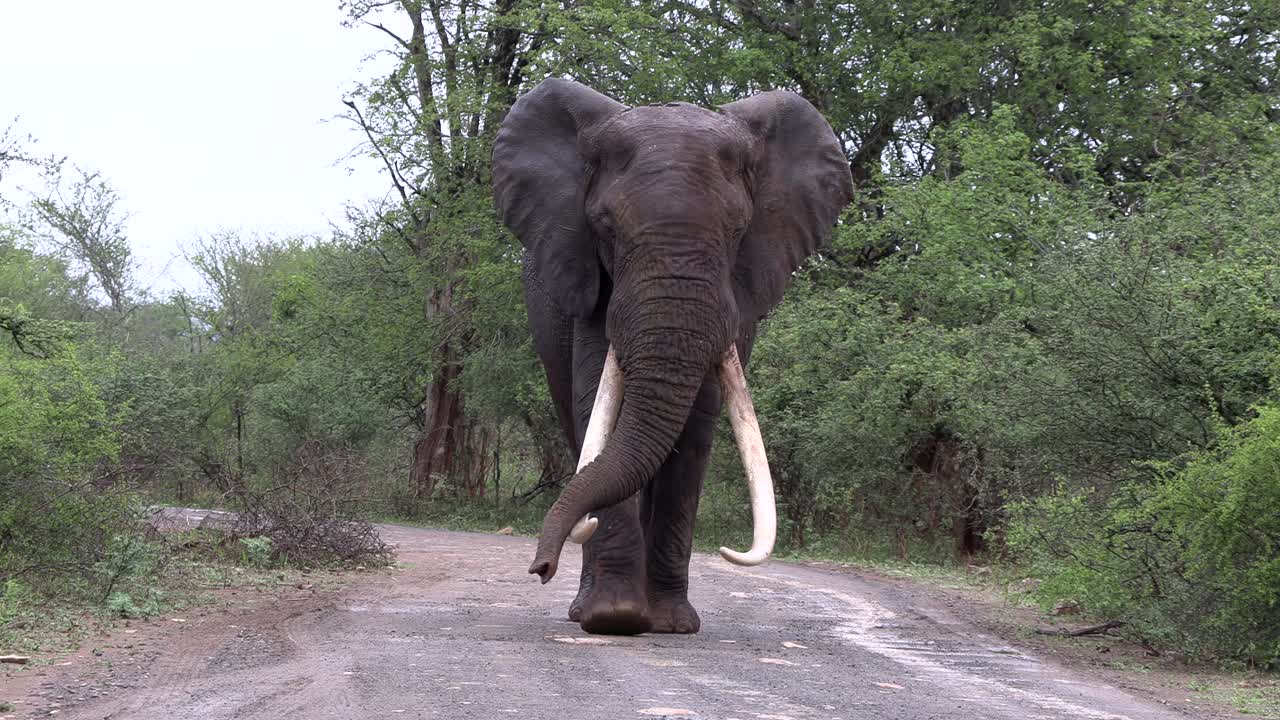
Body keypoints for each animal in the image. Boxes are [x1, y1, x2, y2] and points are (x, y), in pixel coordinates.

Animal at [491, 78, 853, 635]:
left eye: (738, 230)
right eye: (606, 228)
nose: (540, 568)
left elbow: (697, 423)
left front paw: (673, 624)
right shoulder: (592, 285)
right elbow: (597, 398)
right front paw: (614, 618)